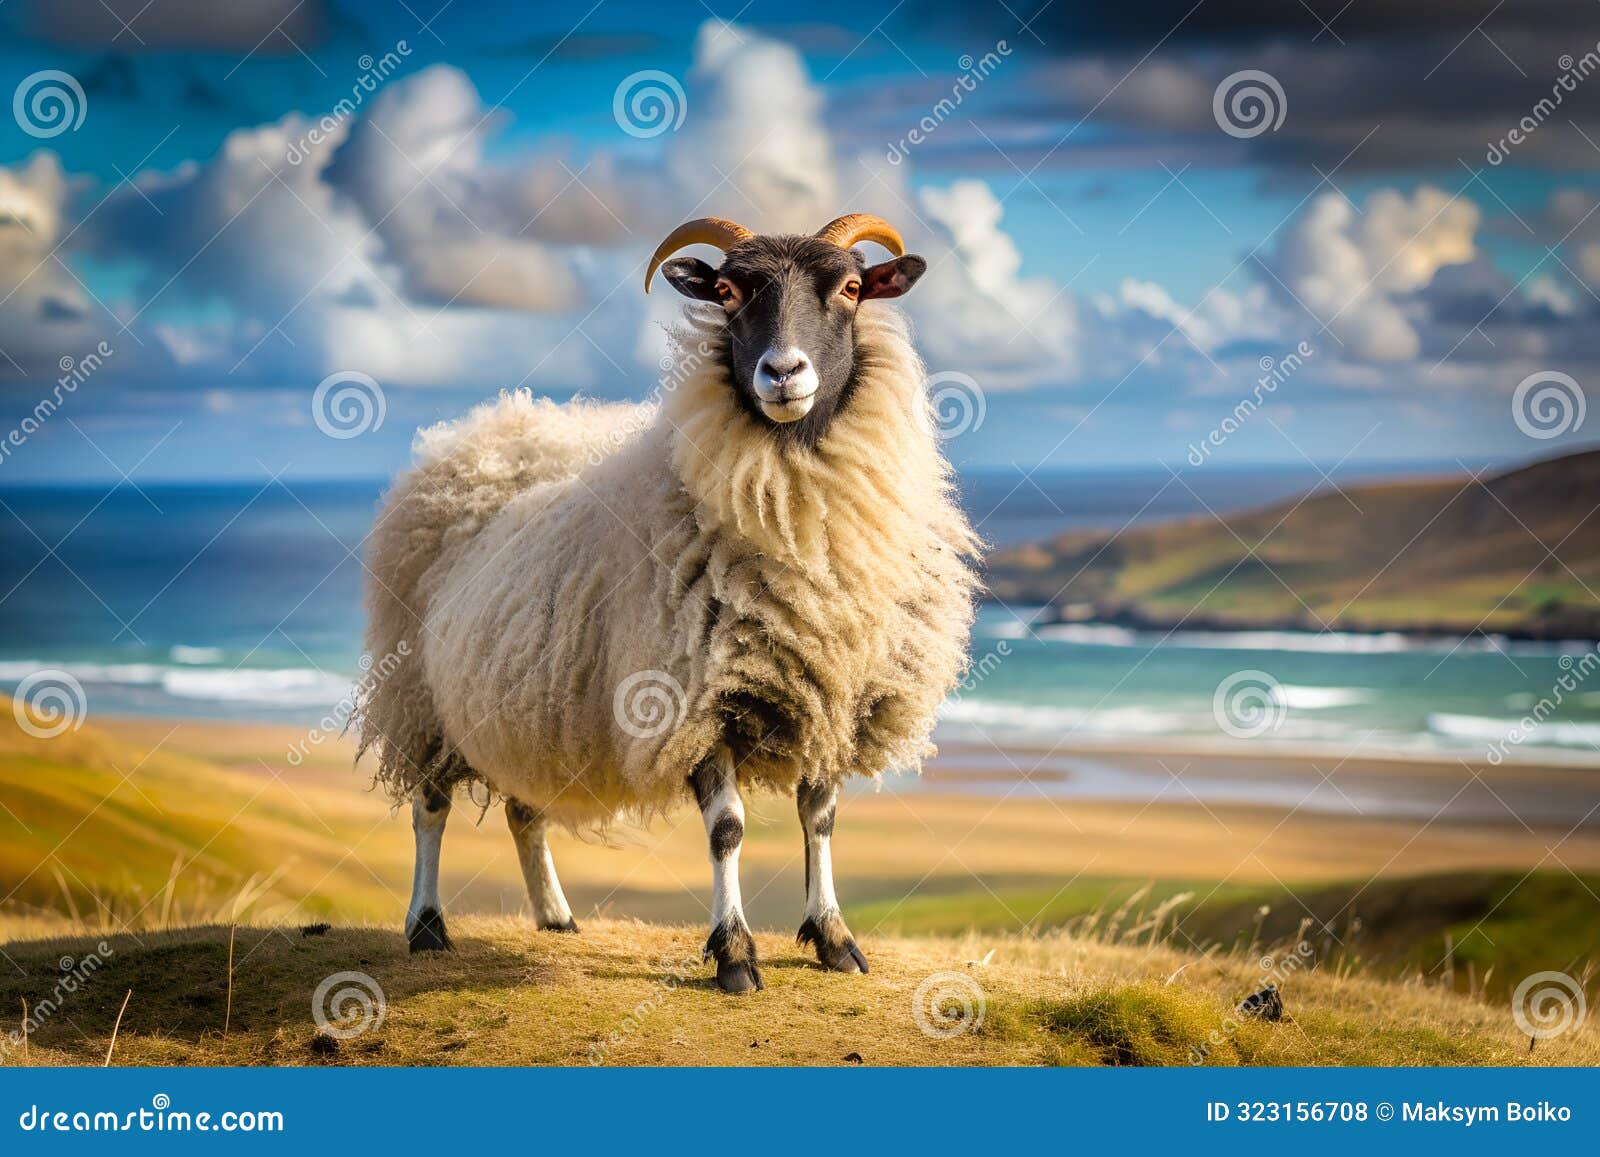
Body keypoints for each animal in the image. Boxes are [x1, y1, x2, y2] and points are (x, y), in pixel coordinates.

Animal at [356, 214, 981, 991]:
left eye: (850, 287)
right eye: (727, 290)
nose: (784, 372)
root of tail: (480, 432)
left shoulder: (835, 687)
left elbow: (820, 817)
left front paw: (835, 938)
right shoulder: (693, 698)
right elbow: (728, 829)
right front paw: (735, 953)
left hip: (519, 701)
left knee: (525, 811)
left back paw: (555, 915)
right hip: (420, 698)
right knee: (430, 806)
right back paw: (427, 925)